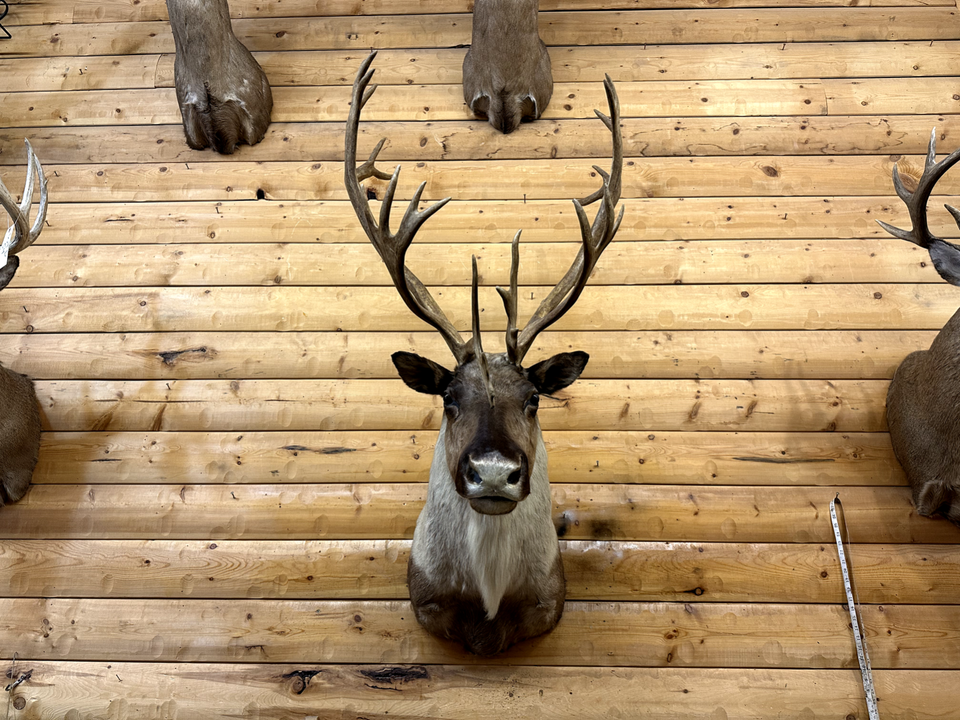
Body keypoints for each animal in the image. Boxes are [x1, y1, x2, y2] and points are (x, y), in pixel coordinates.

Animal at [345, 52, 622, 655]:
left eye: (535, 400)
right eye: (448, 398)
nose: (493, 474)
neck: (491, 598)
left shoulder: (549, 598)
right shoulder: (426, 598)